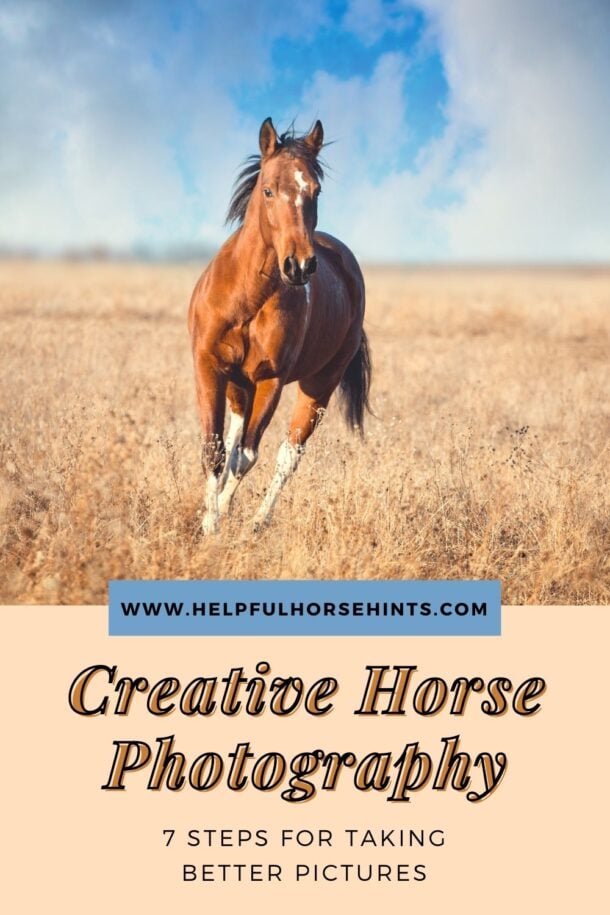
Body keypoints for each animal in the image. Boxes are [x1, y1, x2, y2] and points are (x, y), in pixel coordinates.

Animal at [188, 117, 371, 534]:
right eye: (268, 189)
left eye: (316, 191)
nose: (299, 266)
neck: (247, 299)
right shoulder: (210, 366)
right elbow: (215, 450)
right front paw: (209, 520)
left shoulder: (270, 380)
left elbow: (247, 457)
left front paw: (217, 523)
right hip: (239, 386)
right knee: (234, 442)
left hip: (317, 386)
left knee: (288, 455)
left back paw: (256, 523)